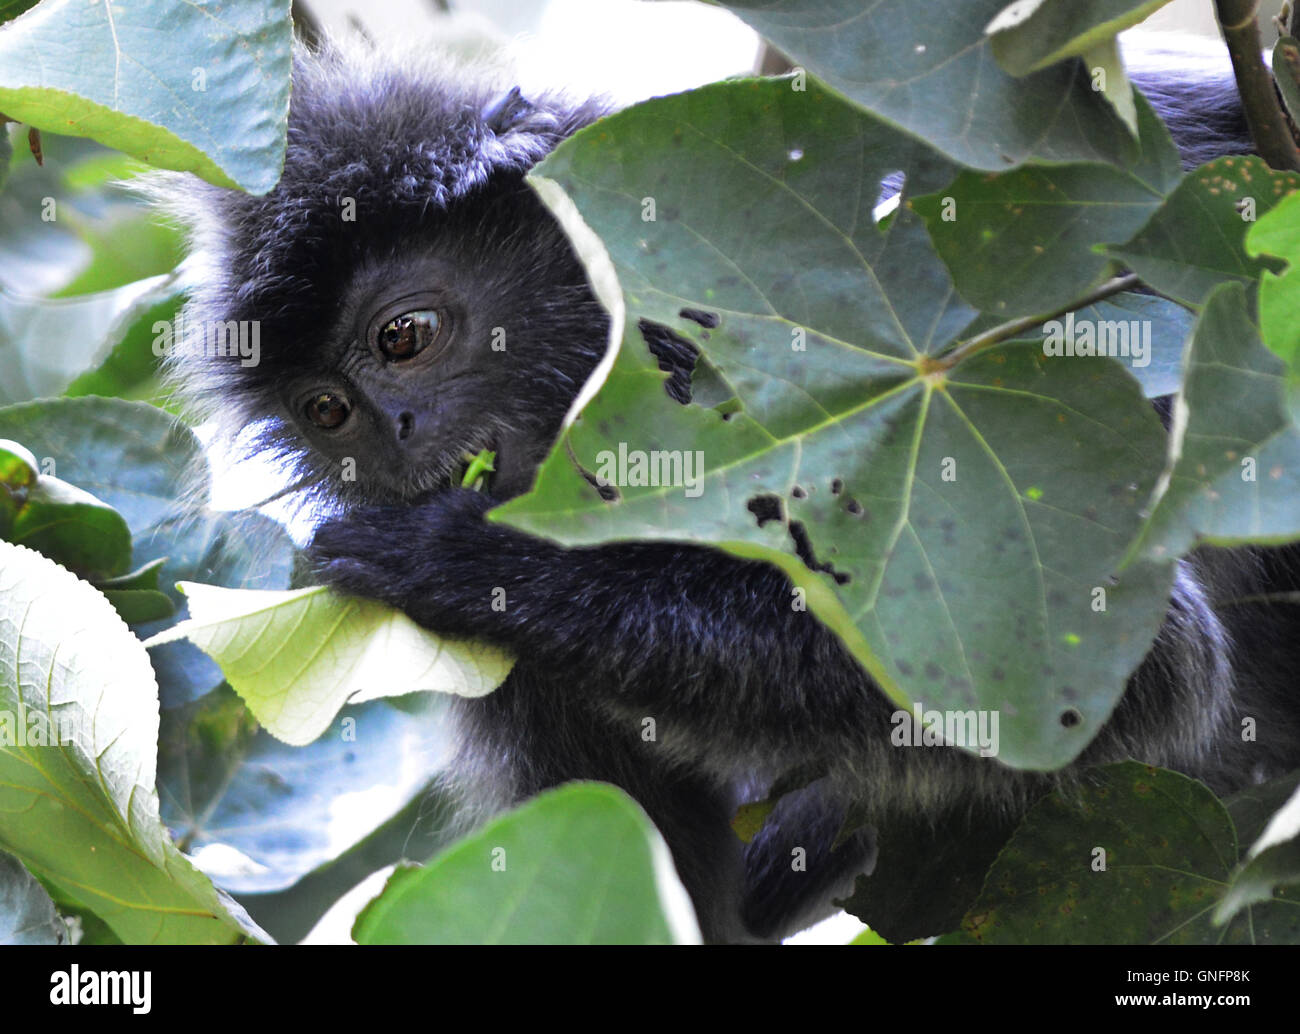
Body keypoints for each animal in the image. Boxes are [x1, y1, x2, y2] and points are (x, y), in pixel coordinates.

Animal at [150, 39, 1300, 943]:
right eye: (325, 411)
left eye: (404, 339)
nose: (393, 440)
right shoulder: (519, 688)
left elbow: (1137, 666)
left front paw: (479, 562)